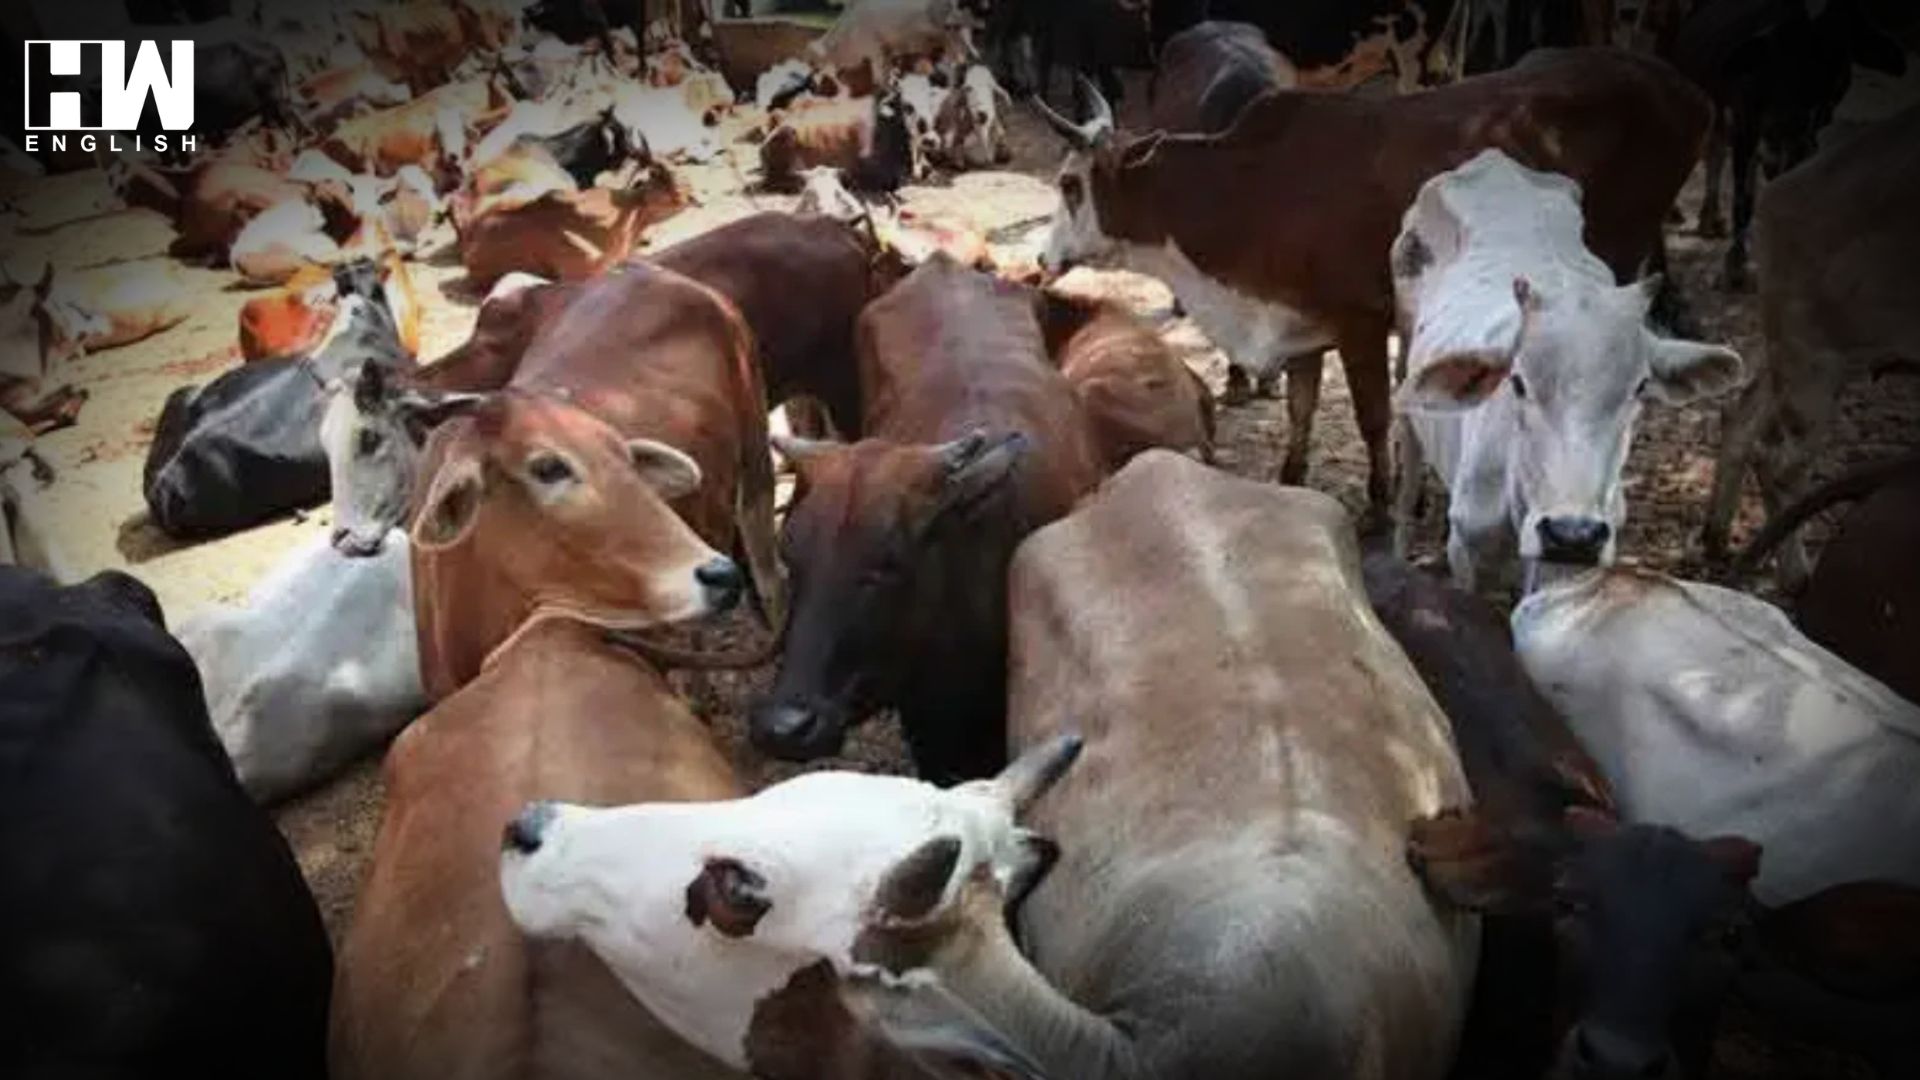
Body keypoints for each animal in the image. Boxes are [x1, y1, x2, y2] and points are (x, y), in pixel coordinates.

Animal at [1390, 150, 1744, 593]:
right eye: (1518, 382)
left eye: (1640, 387)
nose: (1572, 534)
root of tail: (1494, 162)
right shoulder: (1468, 558)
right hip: (1405, 354)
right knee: (1407, 473)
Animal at [1668, 0, 1908, 290]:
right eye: (1780, 58)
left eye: (1839, 59)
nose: (1792, 122)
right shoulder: (1745, 130)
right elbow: (1743, 200)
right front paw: (1735, 266)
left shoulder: (1802, 143)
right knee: (1713, 152)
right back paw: (1703, 217)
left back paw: (1710, 219)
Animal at [1704, 103, 1920, 588]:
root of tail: (1782, 191)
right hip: (1813, 359)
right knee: (1780, 460)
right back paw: (1794, 574)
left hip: (1787, 348)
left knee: (1741, 415)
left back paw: (1717, 537)